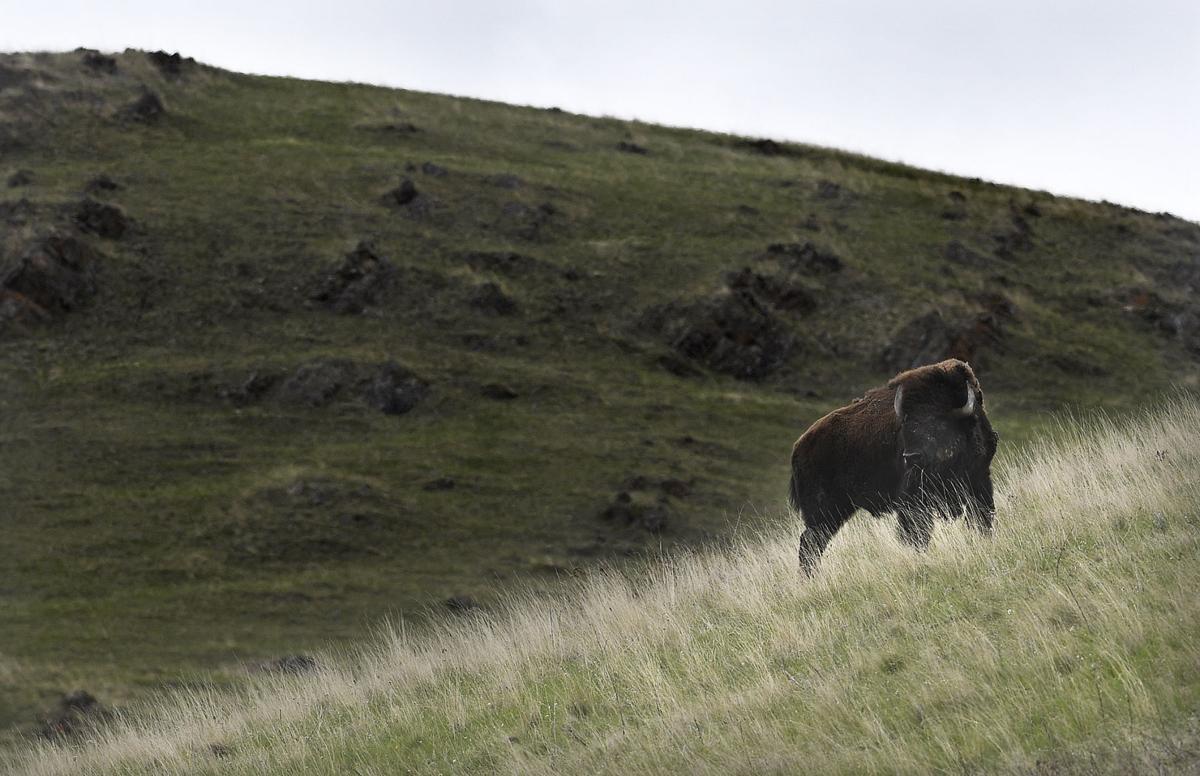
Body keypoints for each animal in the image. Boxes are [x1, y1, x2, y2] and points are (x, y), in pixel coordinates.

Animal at [789, 359, 999, 572]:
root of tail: (799, 446)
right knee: (810, 541)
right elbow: (917, 533)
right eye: (906, 422)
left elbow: (982, 518)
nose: (912, 456)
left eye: (936, 420)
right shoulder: (914, 498)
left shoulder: (979, 479)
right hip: (824, 511)